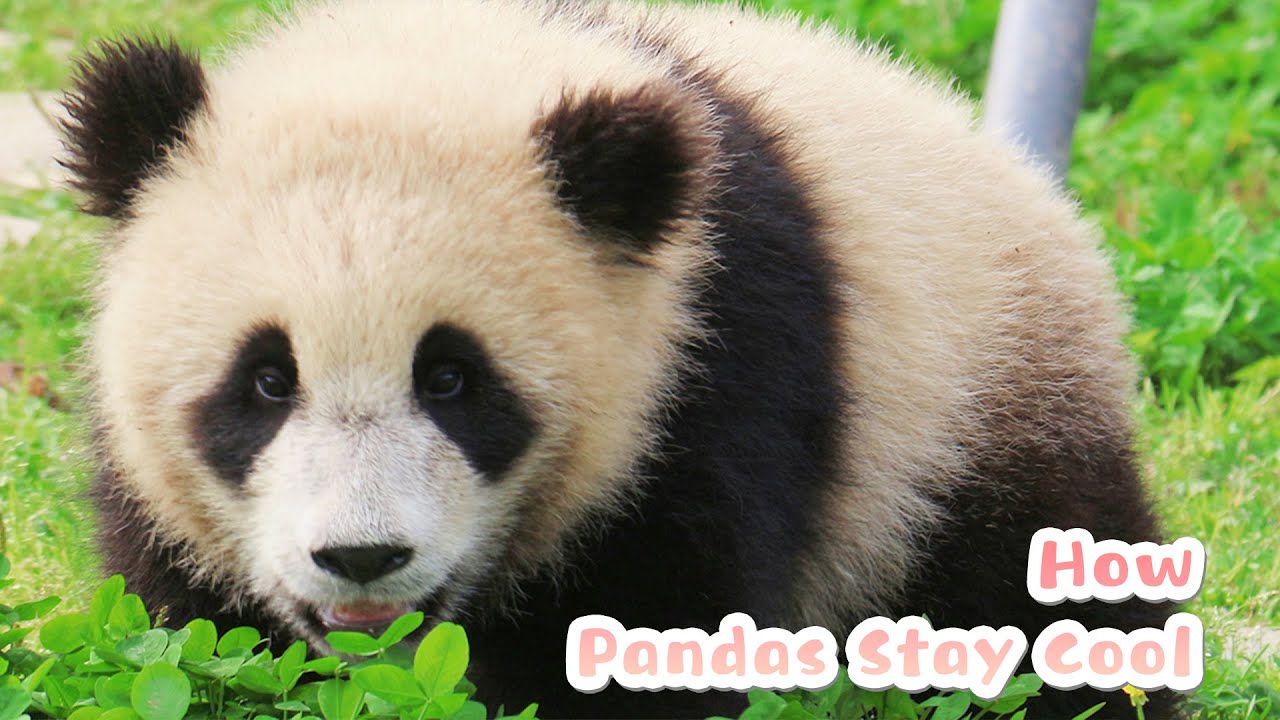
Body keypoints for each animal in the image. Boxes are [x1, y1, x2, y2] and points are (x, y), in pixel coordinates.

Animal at [61, 0, 1177, 717]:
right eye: (265, 380)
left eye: (452, 380)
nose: (362, 558)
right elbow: (198, 639)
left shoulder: (713, 356)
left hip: (970, 414)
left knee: (1041, 607)